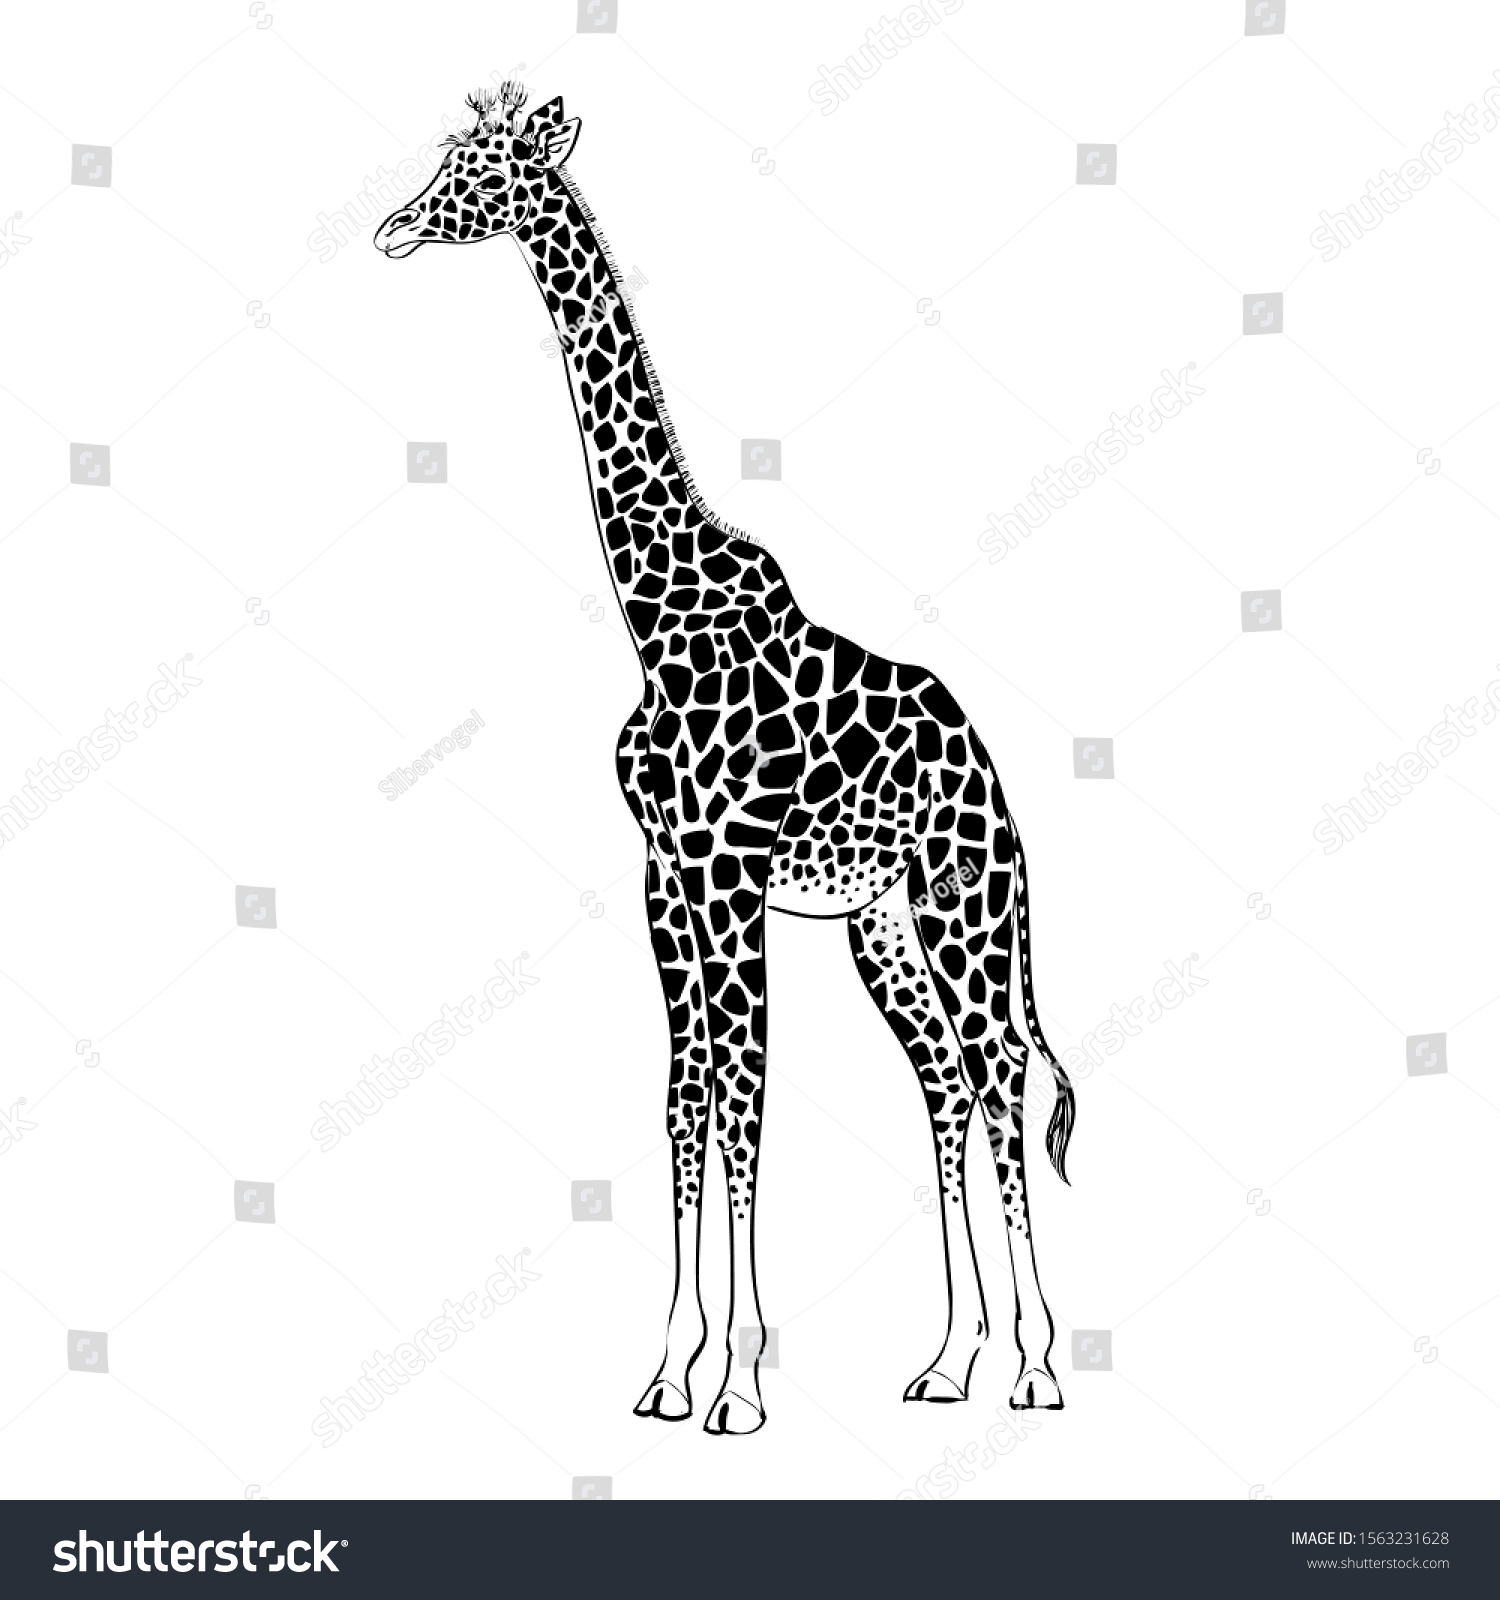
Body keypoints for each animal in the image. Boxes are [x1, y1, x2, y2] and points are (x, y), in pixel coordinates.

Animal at [376, 83, 1076, 1435]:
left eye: (480, 172)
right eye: (447, 158)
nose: (391, 228)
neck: (656, 611)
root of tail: (1002, 785)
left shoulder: (733, 871)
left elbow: (746, 1105)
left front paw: (740, 1382)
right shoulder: (668, 878)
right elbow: (685, 1102)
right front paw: (667, 1371)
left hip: (966, 907)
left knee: (1005, 1072)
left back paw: (1034, 1366)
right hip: (883, 926)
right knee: (945, 1086)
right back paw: (948, 1360)